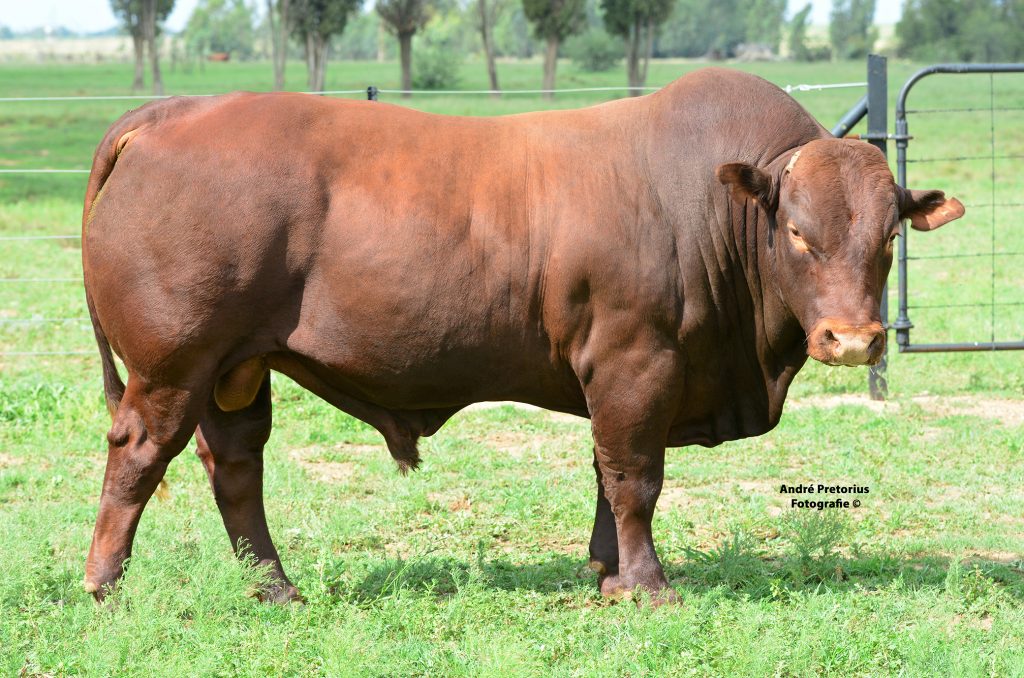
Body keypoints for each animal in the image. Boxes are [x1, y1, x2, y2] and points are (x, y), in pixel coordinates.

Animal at [81, 68, 964, 604]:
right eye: (799, 236)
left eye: (887, 239)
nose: (854, 339)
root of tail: (171, 112)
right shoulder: (636, 360)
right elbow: (636, 477)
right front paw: (647, 584)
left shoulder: (621, 375)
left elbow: (607, 474)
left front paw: (606, 571)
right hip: (173, 362)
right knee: (138, 453)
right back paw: (105, 584)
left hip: (236, 369)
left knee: (235, 467)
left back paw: (274, 588)